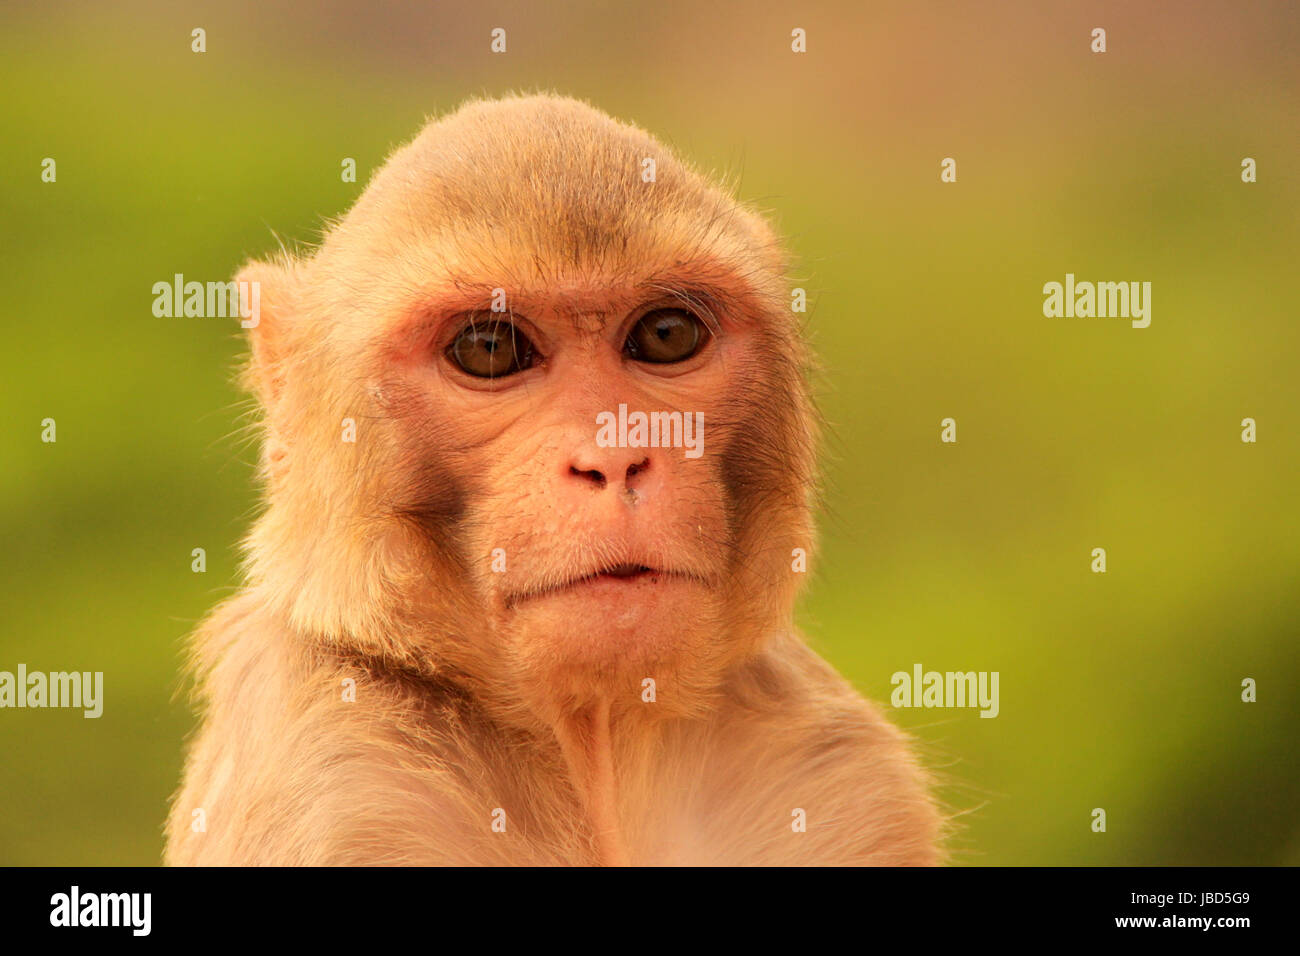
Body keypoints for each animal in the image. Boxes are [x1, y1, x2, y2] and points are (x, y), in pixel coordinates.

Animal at [165, 93, 942, 866]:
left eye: (666, 335)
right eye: (489, 347)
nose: (615, 456)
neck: (598, 744)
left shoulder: (837, 774)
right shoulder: (334, 778)